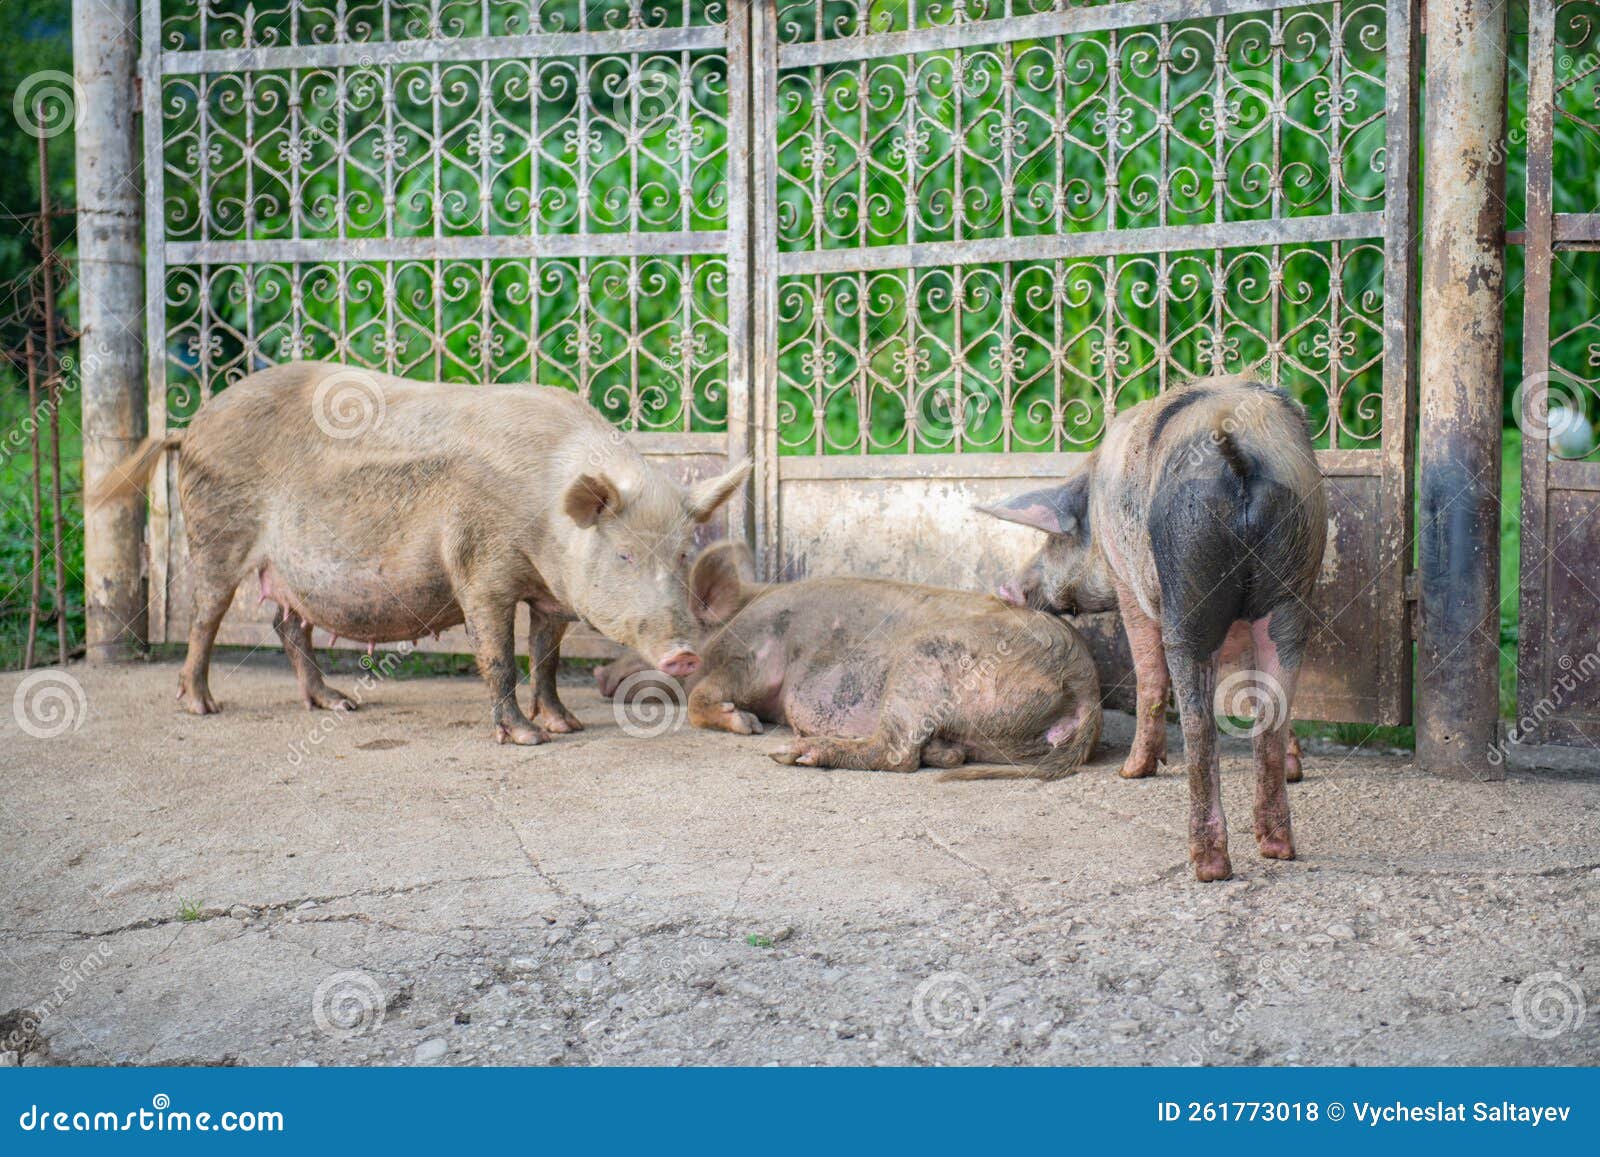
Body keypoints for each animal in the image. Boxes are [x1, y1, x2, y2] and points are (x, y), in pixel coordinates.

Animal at [92, 361, 749, 745]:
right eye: (625, 557)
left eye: (683, 556)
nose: (685, 654)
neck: (545, 515)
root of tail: (192, 424)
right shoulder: (479, 569)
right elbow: (498, 656)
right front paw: (529, 739)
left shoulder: (551, 595)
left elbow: (546, 658)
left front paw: (568, 723)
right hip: (215, 535)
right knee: (206, 616)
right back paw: (203, 708)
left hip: (288, 569)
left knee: (287, 625)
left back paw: (338, 705)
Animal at [605, 542, 1102, 777]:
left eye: (656, 643)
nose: (603, 674)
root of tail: (1085, 689)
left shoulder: (756, 657)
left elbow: (702, 698)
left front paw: (746, 725)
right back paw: (945, 751)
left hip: (925, 658)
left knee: (898, 753)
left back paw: (792, 753)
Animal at [983, 375, 1326, 881]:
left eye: (1053, 540)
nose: (1007, 588)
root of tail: (1238, 448)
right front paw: (1295, 766)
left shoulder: (1127, 581)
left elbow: (1148, 670)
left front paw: (1130, 773)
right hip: (1293, 575)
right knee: (1273, 704)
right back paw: (1278, 848)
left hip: (1186, 563)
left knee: (1197, 718)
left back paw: (1207, 864)